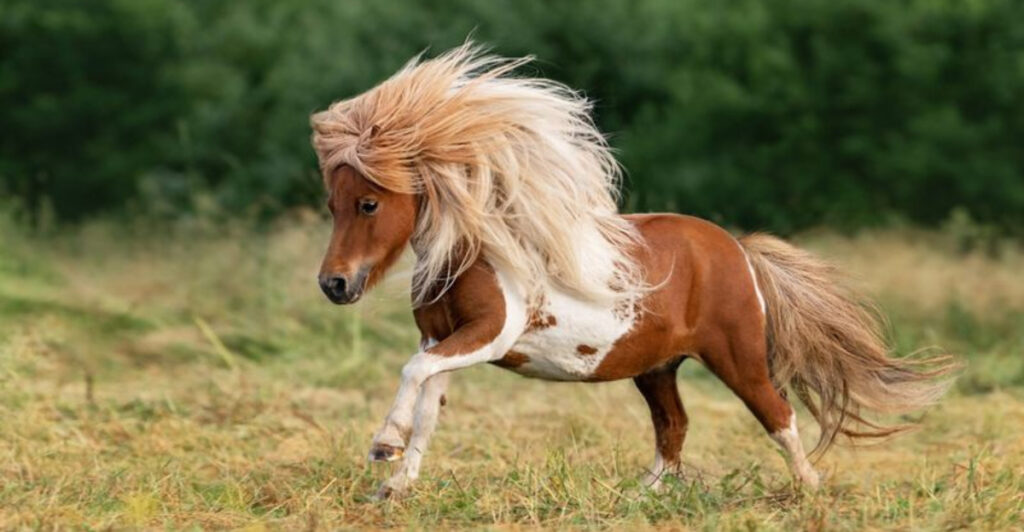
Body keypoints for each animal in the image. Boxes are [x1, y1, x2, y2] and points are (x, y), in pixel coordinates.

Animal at [310, 44, 955, 498]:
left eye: (368, 203)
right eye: (332, 204)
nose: (334, 285)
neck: (475, 252)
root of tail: (738, 249)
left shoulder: (488, 335)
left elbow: (413, 375)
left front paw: (382, 449)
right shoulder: (442, 339)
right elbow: (426, 406)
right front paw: (395, 483)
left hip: (738, 357)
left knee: (779, 415)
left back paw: (810, 492)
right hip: (658, 368)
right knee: (674, 429)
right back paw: (639, 497)